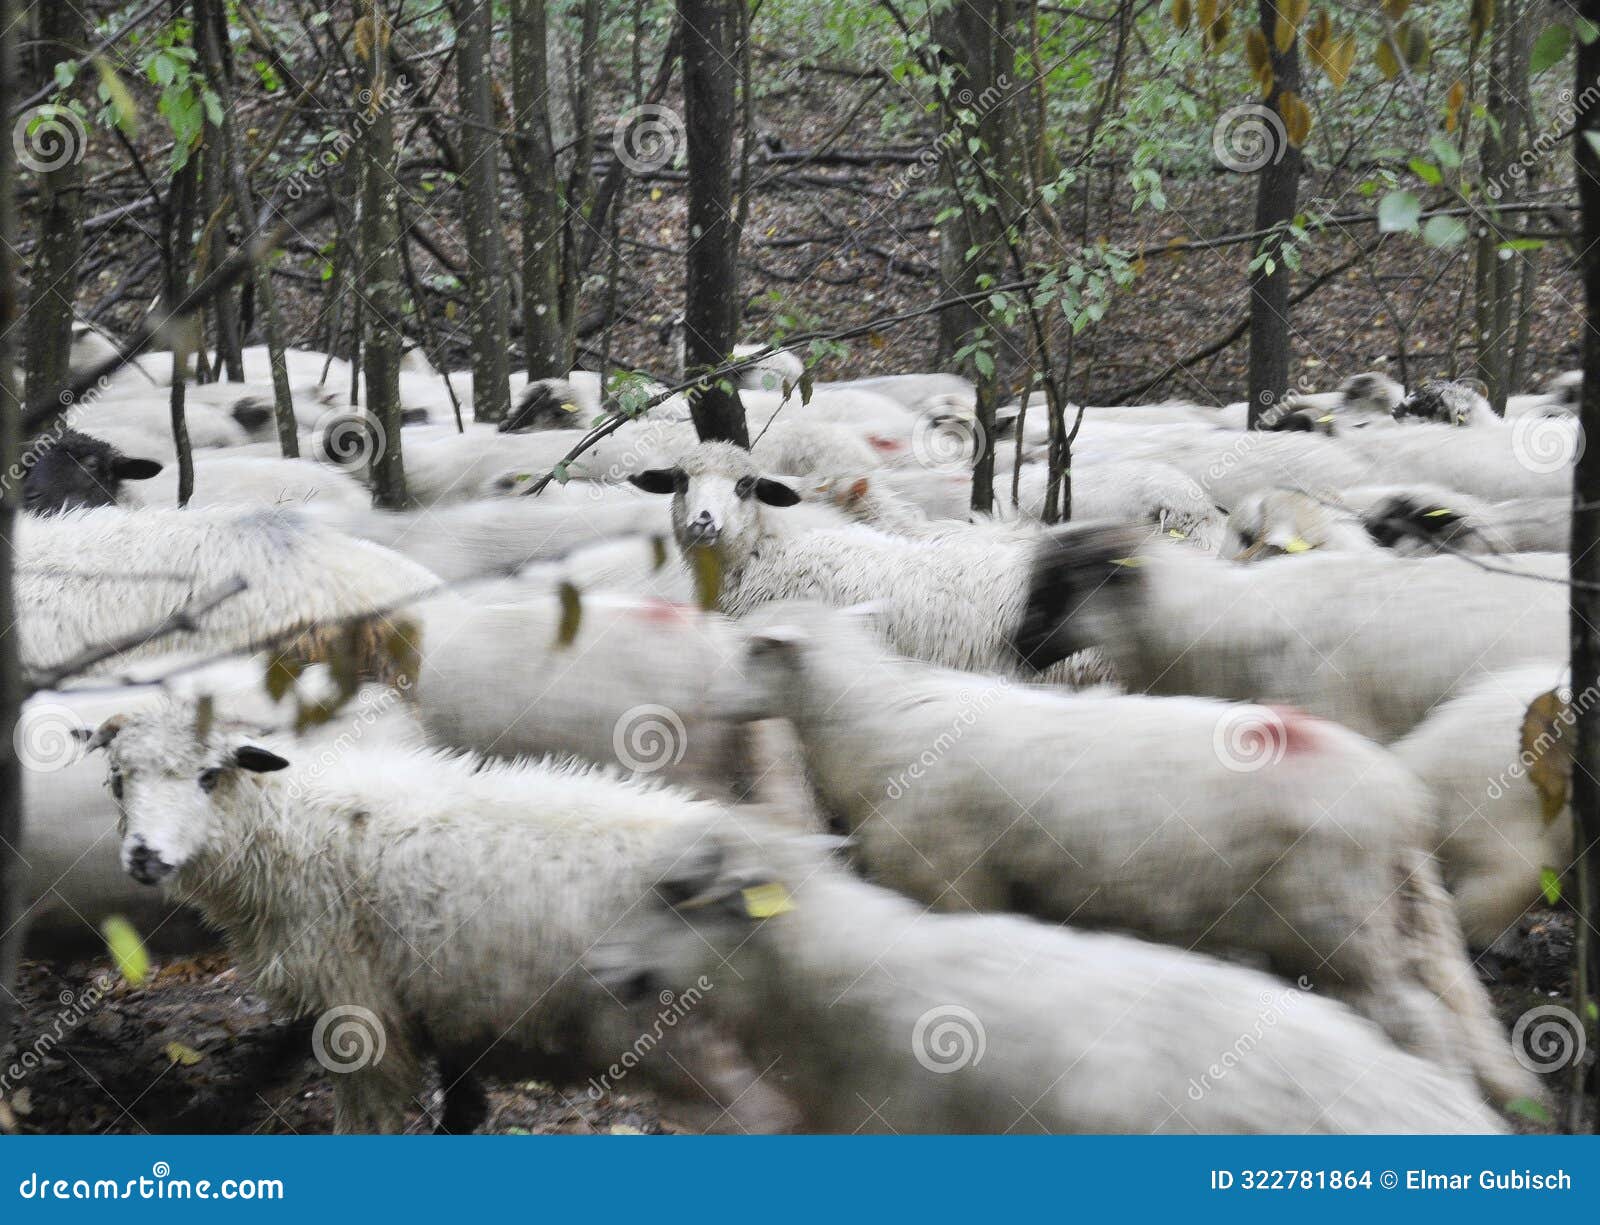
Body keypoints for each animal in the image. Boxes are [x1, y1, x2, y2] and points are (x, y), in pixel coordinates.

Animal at [95, 701, 785, 1133]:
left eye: (209, 776)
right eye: (118, 779)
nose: (145, 856)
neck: (291, 827)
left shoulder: (361, 1008)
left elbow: (366, 1123)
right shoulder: (442, 1009)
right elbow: (461, 1109)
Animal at [704, 601, 1529, 1105]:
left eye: (750, 646)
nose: (709, 704)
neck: (875, 725)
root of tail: (1402, 803)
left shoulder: (954, 877)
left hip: (1337, 919)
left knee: (1416, 1015)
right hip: (1379, 915)